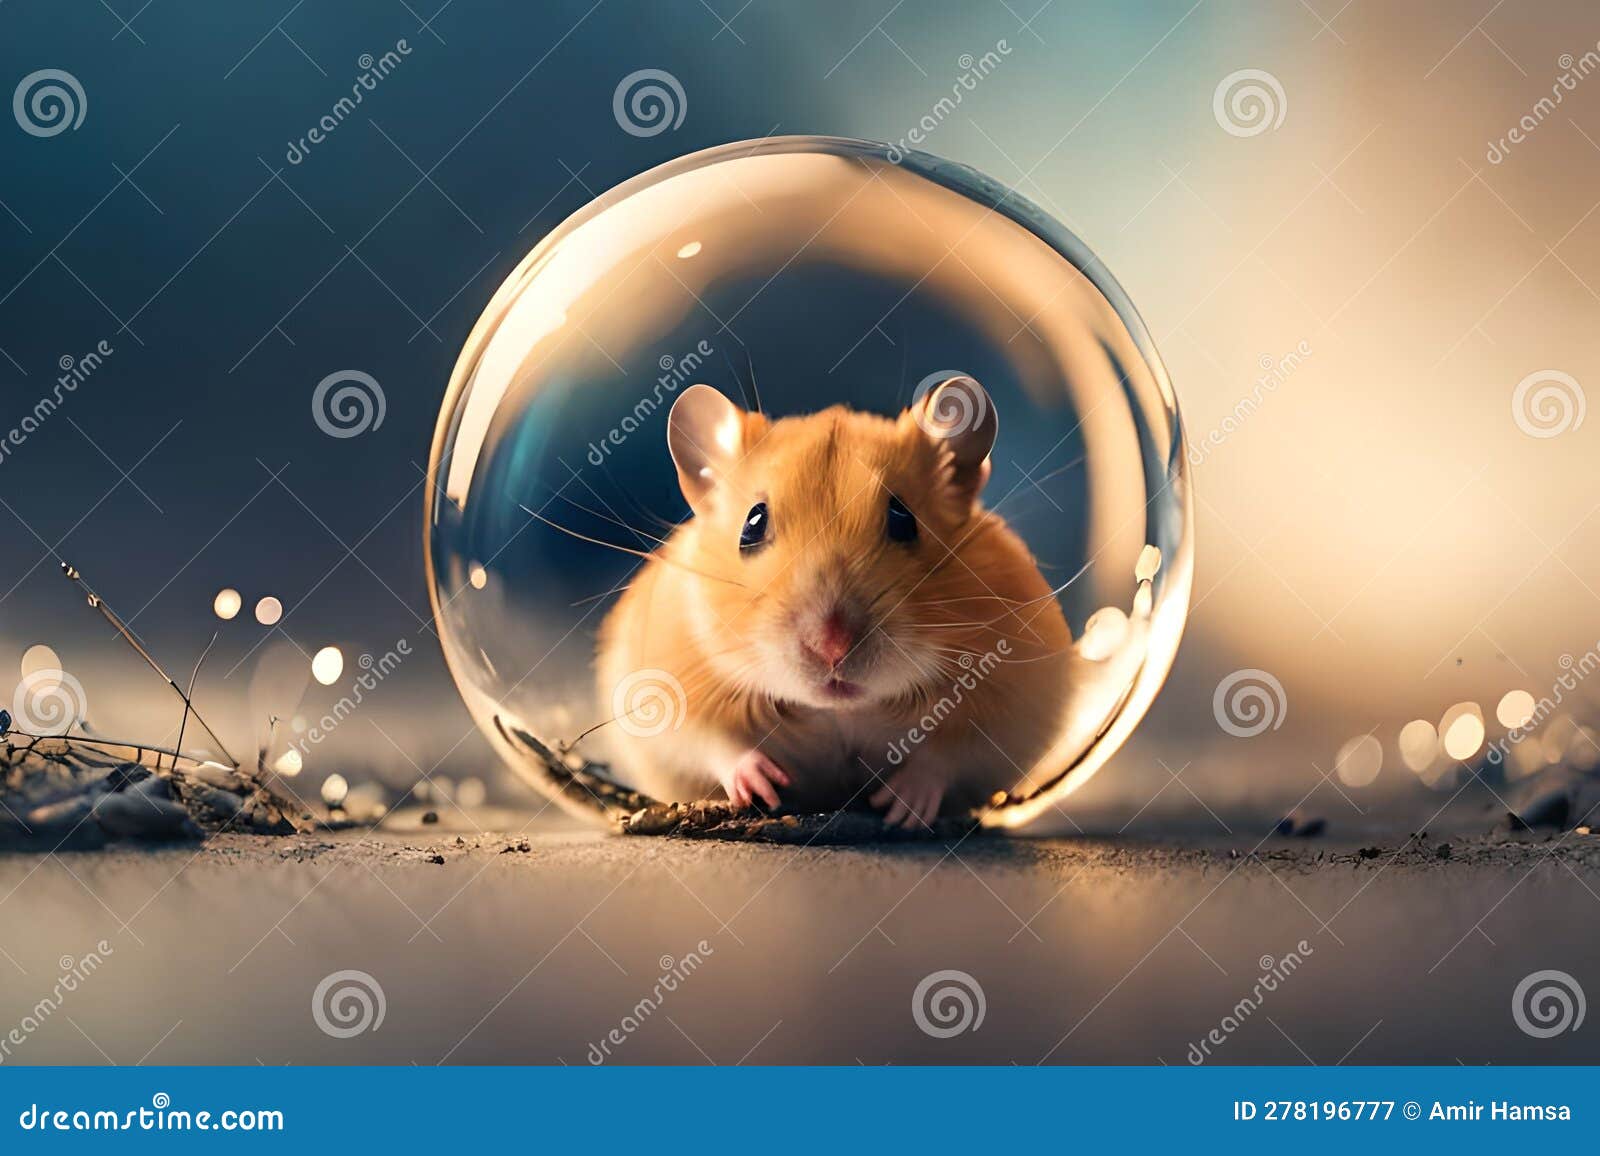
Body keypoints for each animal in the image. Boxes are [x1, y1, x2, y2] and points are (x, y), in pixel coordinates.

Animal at [594, 374, 1072, 829]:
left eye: (904, 519)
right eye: (752, 524)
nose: (833, 647)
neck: (837, 710)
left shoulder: (1009, 703)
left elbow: (945, 757)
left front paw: (899, 807)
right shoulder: (668, 686)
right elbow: (715, 743)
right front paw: (764, 787)